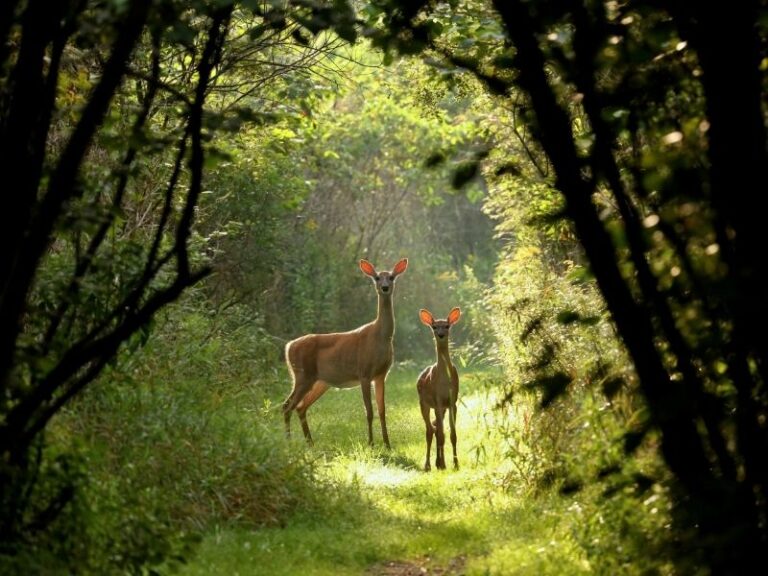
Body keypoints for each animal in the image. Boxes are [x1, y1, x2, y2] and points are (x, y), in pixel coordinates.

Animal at [282, 258, 408, 448]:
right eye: (377, 278)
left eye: (392, 277)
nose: (385, 287)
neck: (380, 337)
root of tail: (288, 346)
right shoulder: (364, 372)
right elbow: (369, 411)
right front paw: (371, 443)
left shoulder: (381, 375)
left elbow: (382, 410)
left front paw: (387, 444)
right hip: (303, 375)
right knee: (287, 405)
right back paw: (289, 442)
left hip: (320, 381)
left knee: (300, 406)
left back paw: (310, 443)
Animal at [417, 307, 461, 471]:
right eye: (434, 327)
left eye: (447, 326)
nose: (441, 334)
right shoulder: (437, 401)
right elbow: (441, 435)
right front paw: (444, 464)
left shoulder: (452, 402)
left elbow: (453, 435)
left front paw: (456, 464)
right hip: (423, 403)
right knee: (430, 430)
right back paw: (429, 465)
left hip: (441, 408)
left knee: (435, 427)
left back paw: (438, 462)